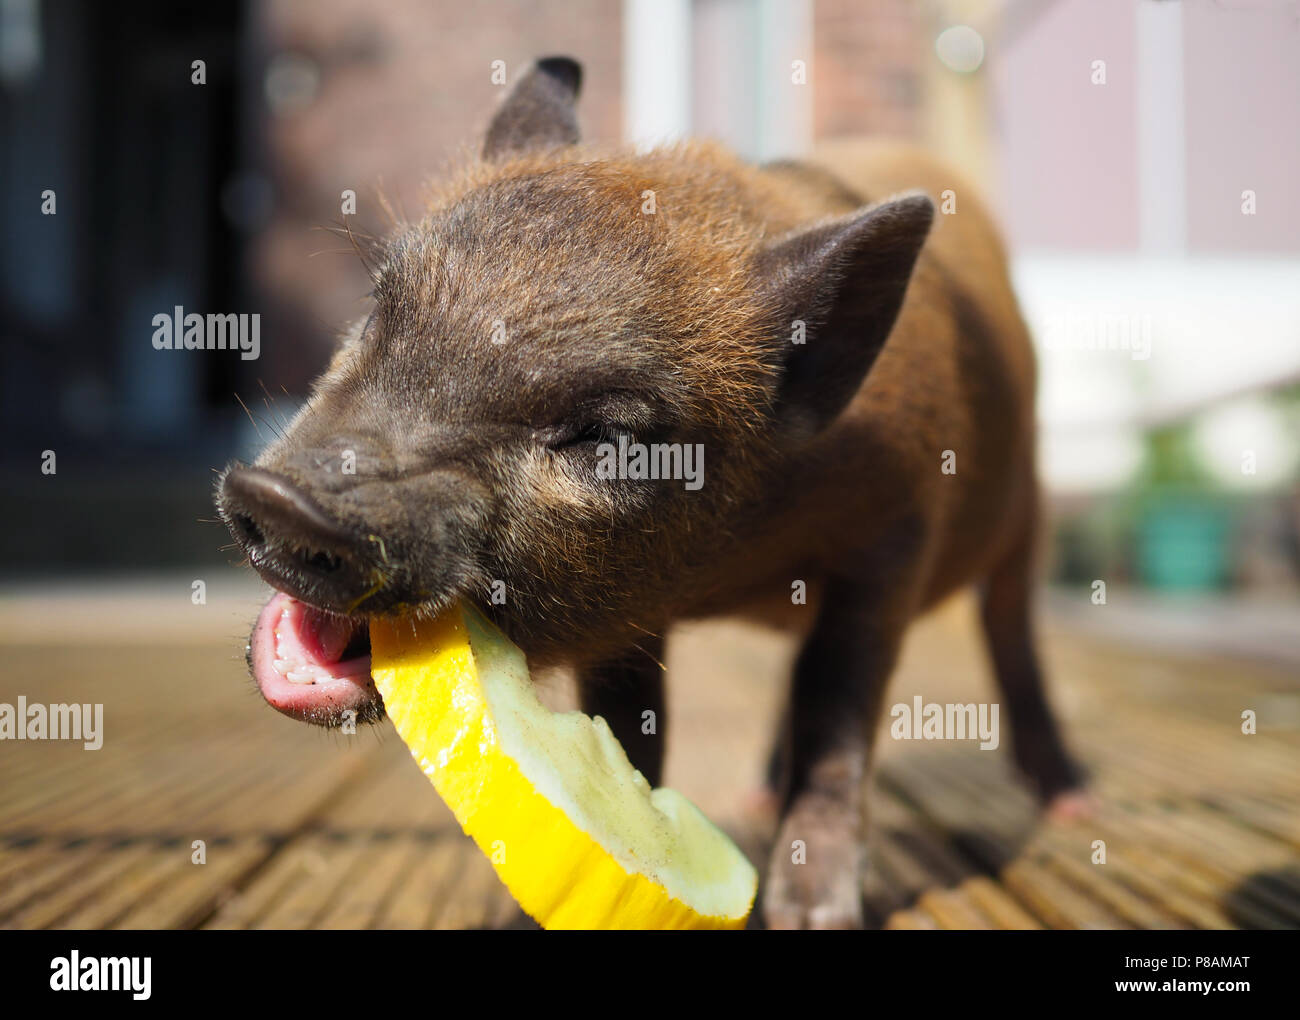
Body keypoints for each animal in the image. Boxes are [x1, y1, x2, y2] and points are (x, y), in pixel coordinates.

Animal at [217, 57, 1086, 929]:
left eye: (607, 435)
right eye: (374, 307)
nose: (284, 499)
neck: (734, 570)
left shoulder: (894, 541)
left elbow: (838, 712)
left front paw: (812, 914)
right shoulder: (629, 622)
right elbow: (637, 725)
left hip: (1028, 508)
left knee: (1010, 628)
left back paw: (1068, 798)